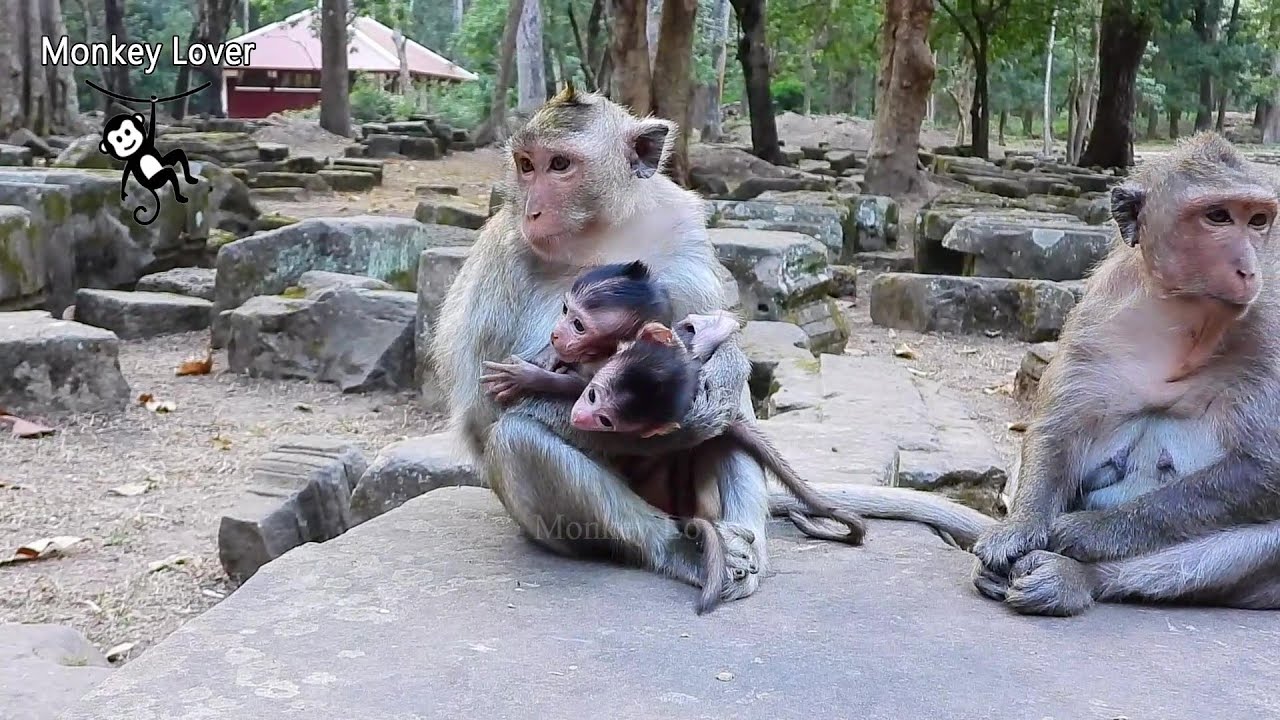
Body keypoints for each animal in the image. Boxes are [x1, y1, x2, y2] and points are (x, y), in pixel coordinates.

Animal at [98, 96, 199, 226]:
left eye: (127, 131)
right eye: (118, 139)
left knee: (178, 154)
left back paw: (190, 179)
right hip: (156, 180)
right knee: (169, 172)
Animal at [969, 131, 1280, 616]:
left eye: (1259, 220)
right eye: (1218, 216)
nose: (1248, 268)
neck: (1184, 316)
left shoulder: (1269, 327)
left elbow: (1266, 466)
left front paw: (1083, 532)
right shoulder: (1096, 313)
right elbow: (1057, 428)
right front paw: (1018, 529)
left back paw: (1071, 577)